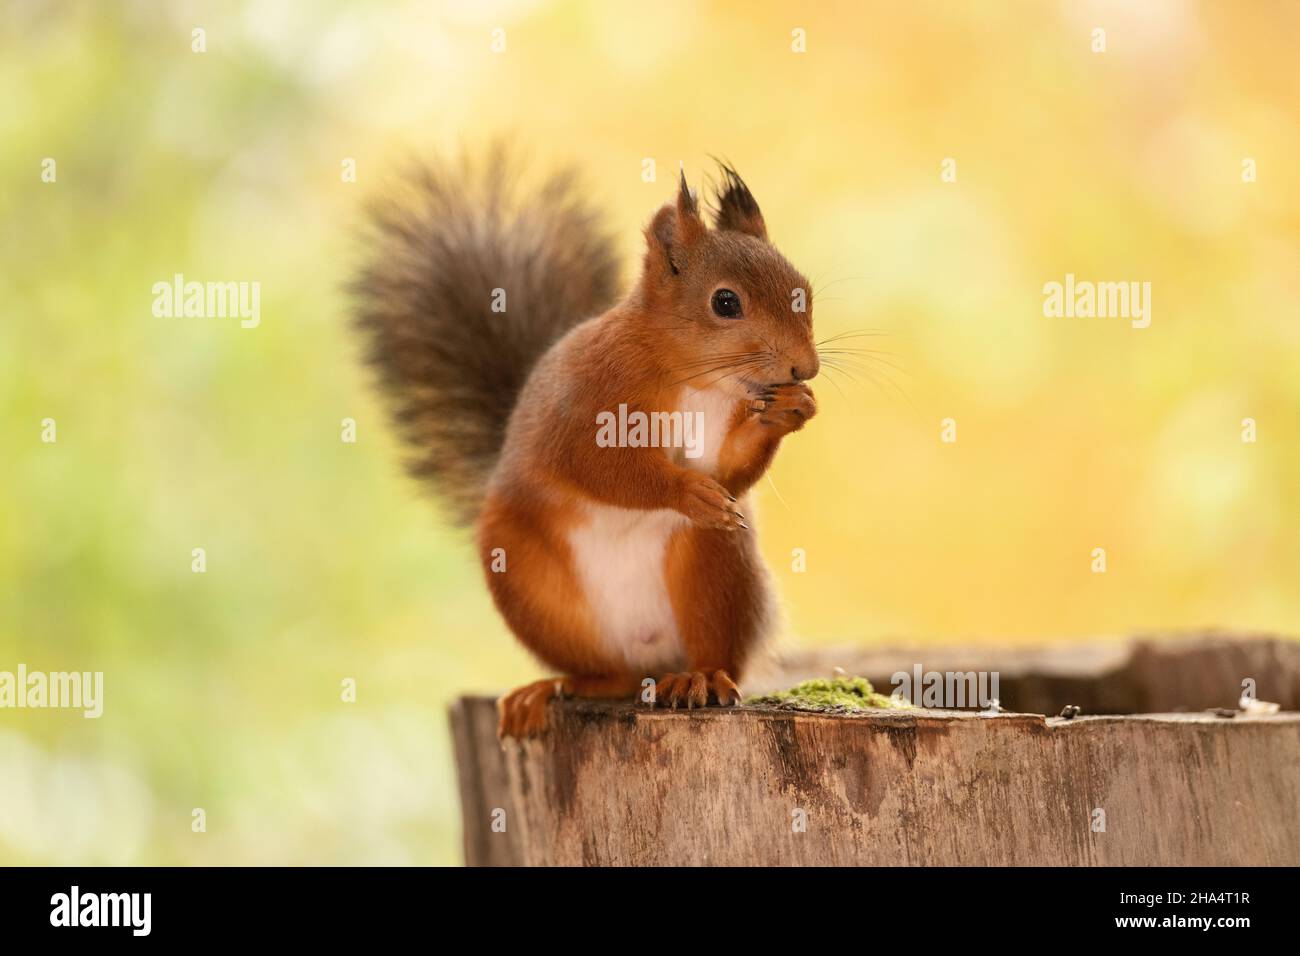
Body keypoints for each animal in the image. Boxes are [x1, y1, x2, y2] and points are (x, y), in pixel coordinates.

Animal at [353, 151, 819, 737]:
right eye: (726, 302)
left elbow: (729, 471)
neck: (696, 377)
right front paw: (688, 492)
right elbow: (602, 470)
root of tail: (651, 659)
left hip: (716, 567)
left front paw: (791, 410)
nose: (806, 368)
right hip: (529, 581)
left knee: (714, 651)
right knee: (607, 675)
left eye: (805, 289)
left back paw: (701, 676)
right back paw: (553, 688)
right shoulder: (582, 409)